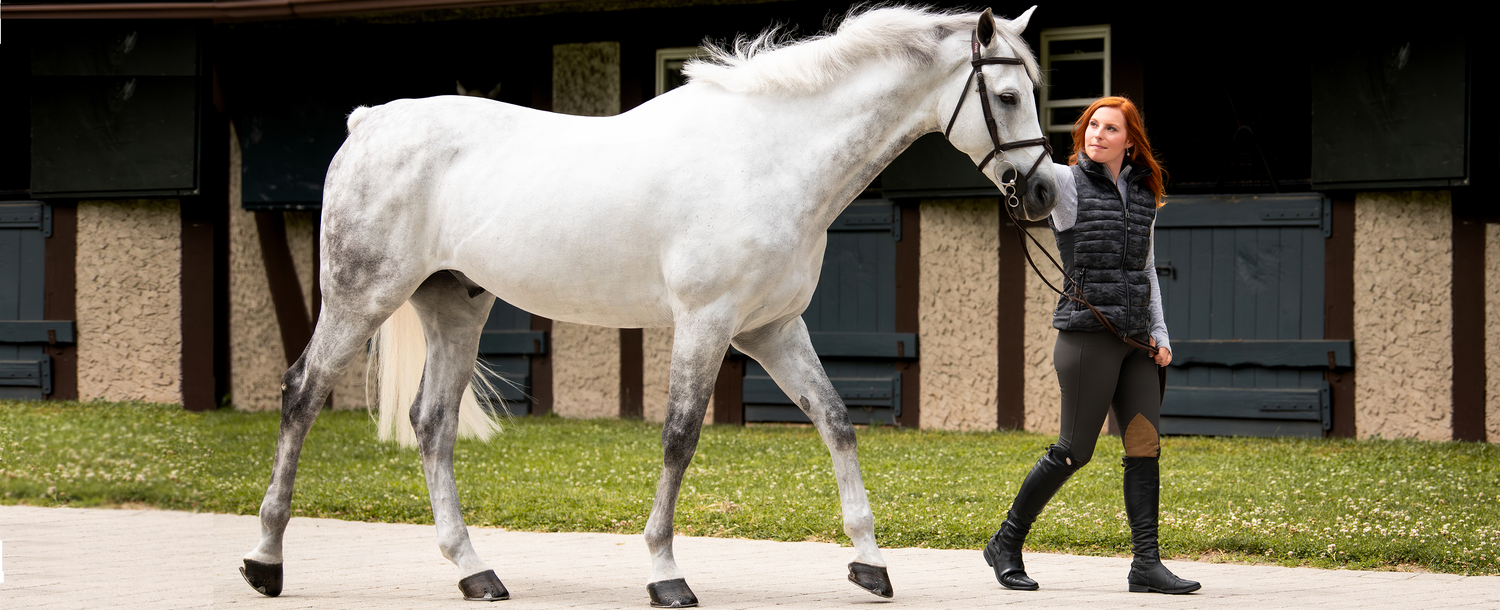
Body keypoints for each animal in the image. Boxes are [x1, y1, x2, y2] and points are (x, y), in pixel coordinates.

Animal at [239, 5, 1057, 606]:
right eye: (1007, 95)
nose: (1046, 191)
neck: (769, 156)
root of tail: (368, 122)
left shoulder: (772, 329)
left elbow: (835, 422)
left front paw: (869, 563)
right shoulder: (706, 323)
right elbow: (679, 437)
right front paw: (667, 574)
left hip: (456, 308)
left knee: (432, 425)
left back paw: (475, 571)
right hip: (362, 296)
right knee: (302, 393)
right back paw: (266, 560)